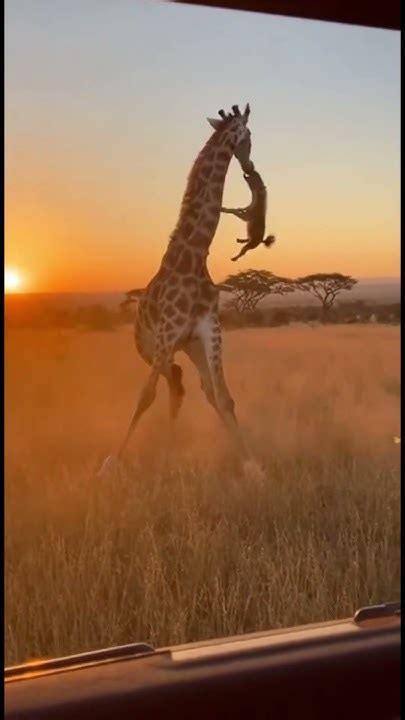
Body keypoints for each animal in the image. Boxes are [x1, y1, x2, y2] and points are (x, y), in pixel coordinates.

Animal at [98, 104, 263, 477]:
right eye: (248, 135)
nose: (249, 167)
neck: (195, 254)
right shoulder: (166, 333)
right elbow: (145, 395)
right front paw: (112, 462)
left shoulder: (209, 330)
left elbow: (223, 397)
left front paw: (252, 466)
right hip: (152, 348)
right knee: (170, 385)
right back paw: (163, 450)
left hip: (187, 346)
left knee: (184, 386)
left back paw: (170, 450)